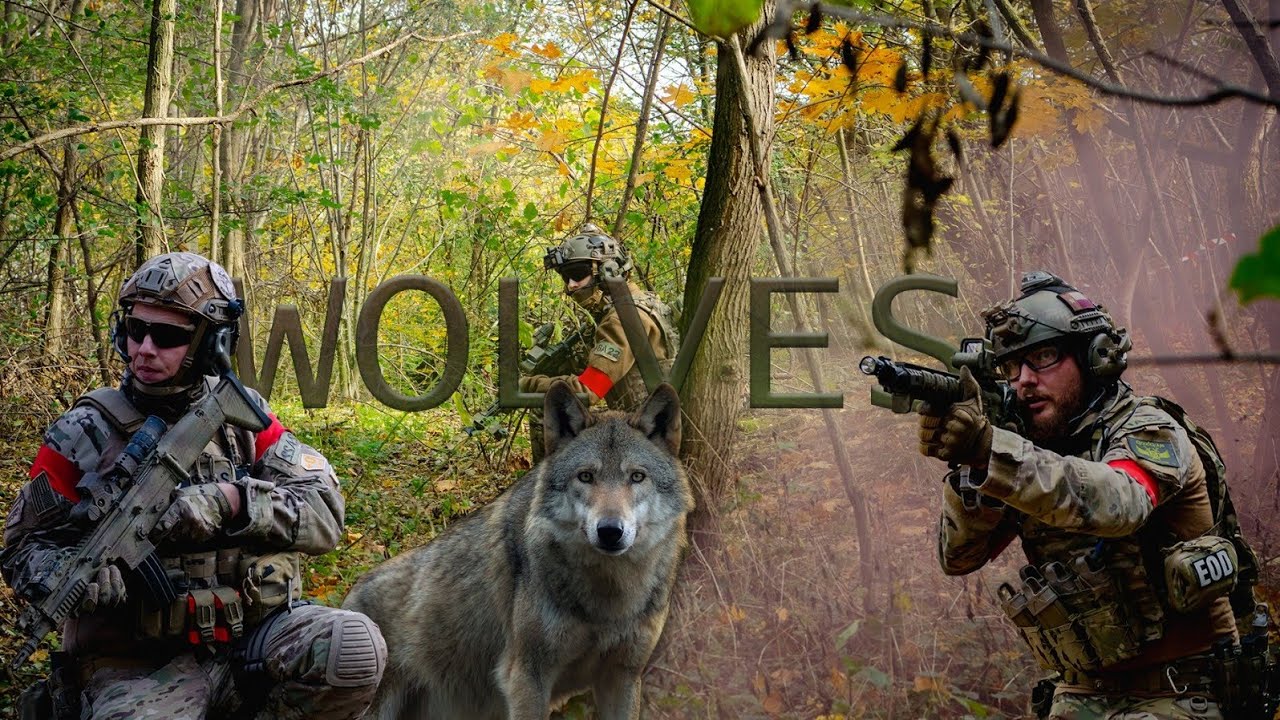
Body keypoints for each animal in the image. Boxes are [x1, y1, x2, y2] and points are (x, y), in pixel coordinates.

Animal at [342, 380, 693, 720]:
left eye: (637, 476)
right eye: (585, 476)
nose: (609, 531)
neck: (608, 599)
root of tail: (349, 595)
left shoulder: (623, 677)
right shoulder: (526, 678)